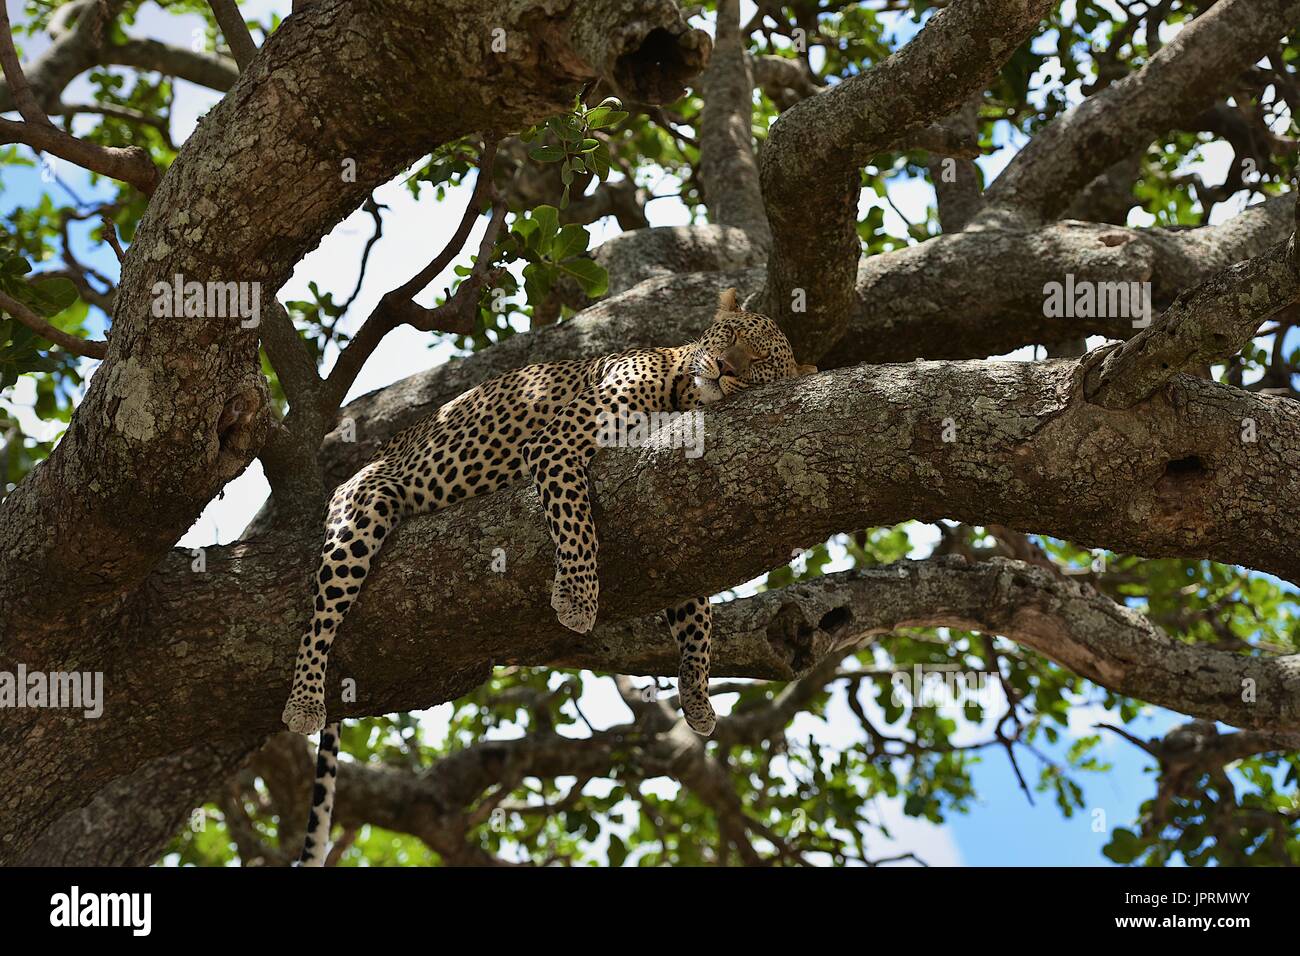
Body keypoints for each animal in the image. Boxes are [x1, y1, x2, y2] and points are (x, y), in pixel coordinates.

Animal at [281, 287, 817, 864]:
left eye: (760, 361)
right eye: (733, 336)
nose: (724, 367)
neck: (682, 395)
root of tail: (371, 458)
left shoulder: (668, 535)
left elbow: (696, 614)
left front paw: (696, 693)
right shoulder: (555, 441)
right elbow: (576, 518)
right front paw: (578, 596)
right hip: (364, 508)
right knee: (320, 615)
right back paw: (304, 700)